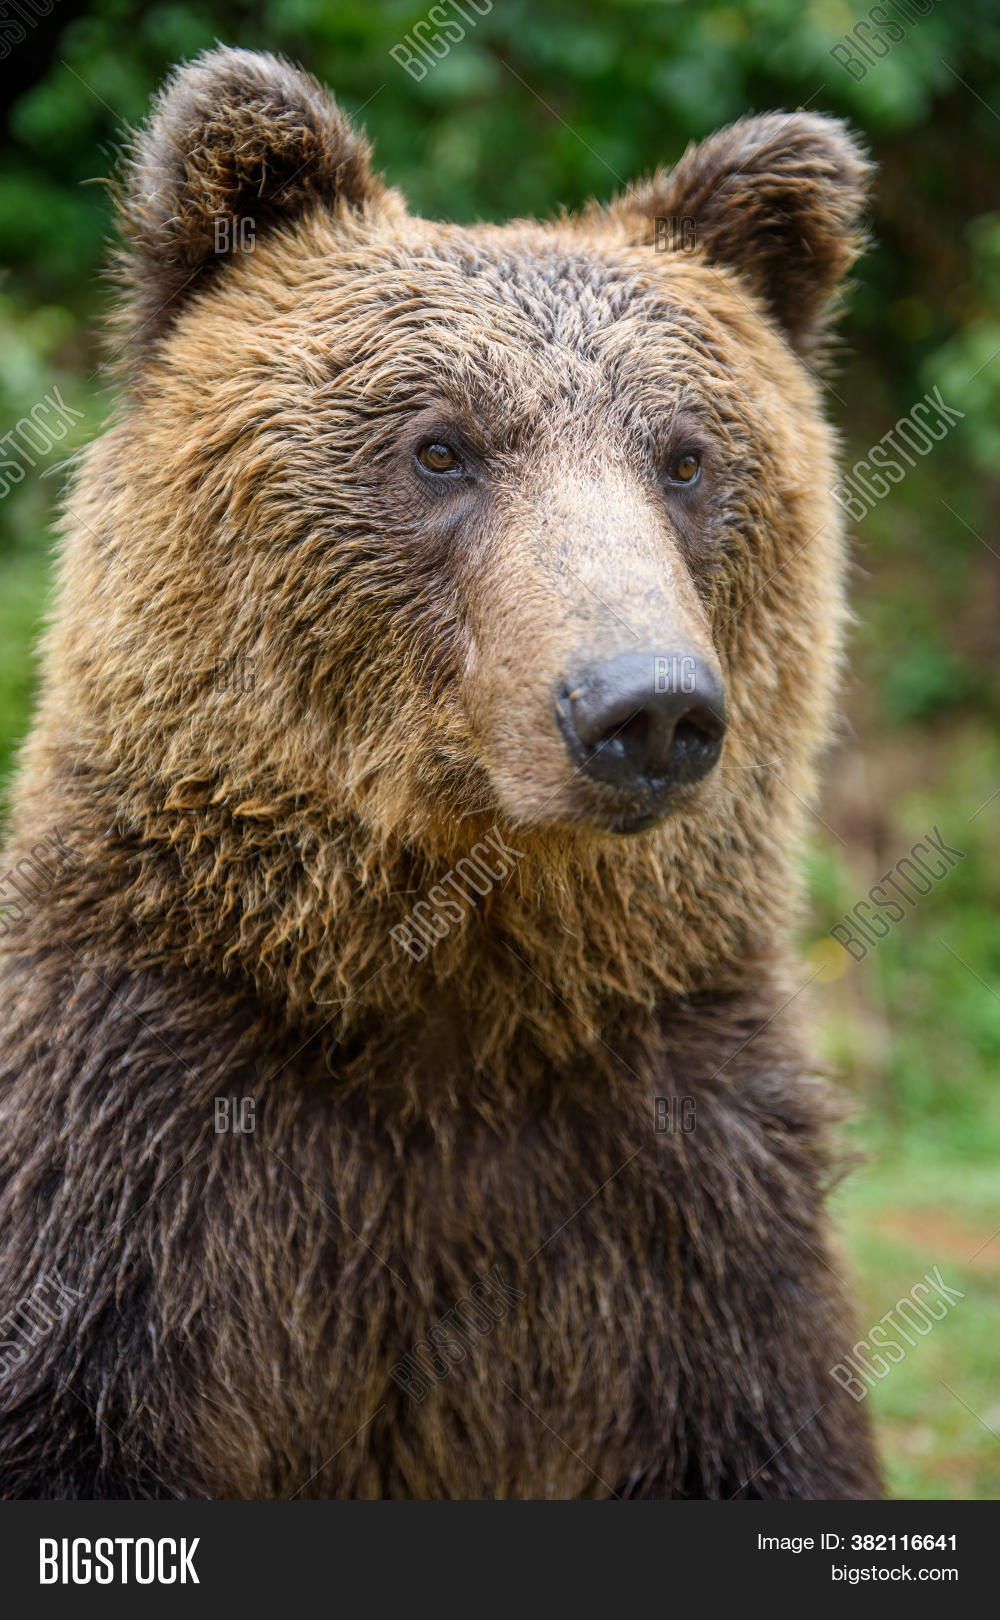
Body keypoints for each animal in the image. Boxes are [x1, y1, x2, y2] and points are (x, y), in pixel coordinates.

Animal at [0, 46, 880, 1499]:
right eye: (440, 445)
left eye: (685, 457)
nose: (644, 708)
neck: (443, 1001)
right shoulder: (127, 1173)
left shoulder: (689, 1214)